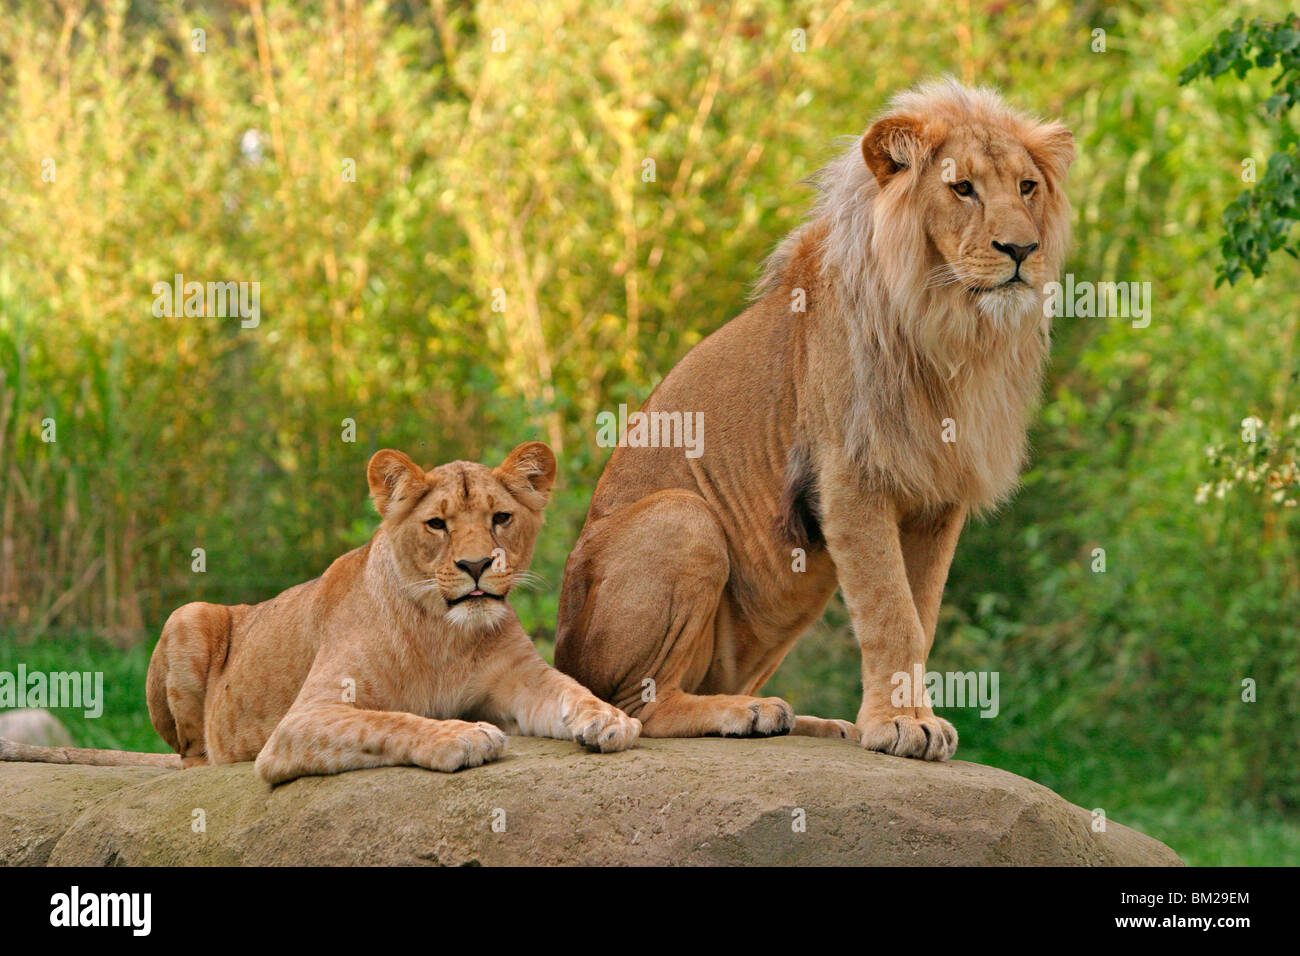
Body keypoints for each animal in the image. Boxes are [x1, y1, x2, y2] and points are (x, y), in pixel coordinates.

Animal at [1, 442, 640, 783]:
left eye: (501, 518)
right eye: (437, 524)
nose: (478, 564)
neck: (446, 634)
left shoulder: (519, 679)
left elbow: (569, 690)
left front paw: (610, 718)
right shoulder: (301, 721)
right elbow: (391, 721)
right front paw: (461, 735)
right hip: (190, 614)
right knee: (188, 756)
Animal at [555, 79, 1074, 761]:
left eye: (1027, 187)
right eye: (962, 188)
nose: (1021, 250)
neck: (950, 330)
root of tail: (560, 653)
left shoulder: (939, 497)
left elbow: (921, 615)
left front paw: (905, 716)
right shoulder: (852, 476)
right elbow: (891, 616)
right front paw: (901, 724)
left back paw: (810, 720)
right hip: (683, 519)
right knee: (639, 705)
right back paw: (745, 712)